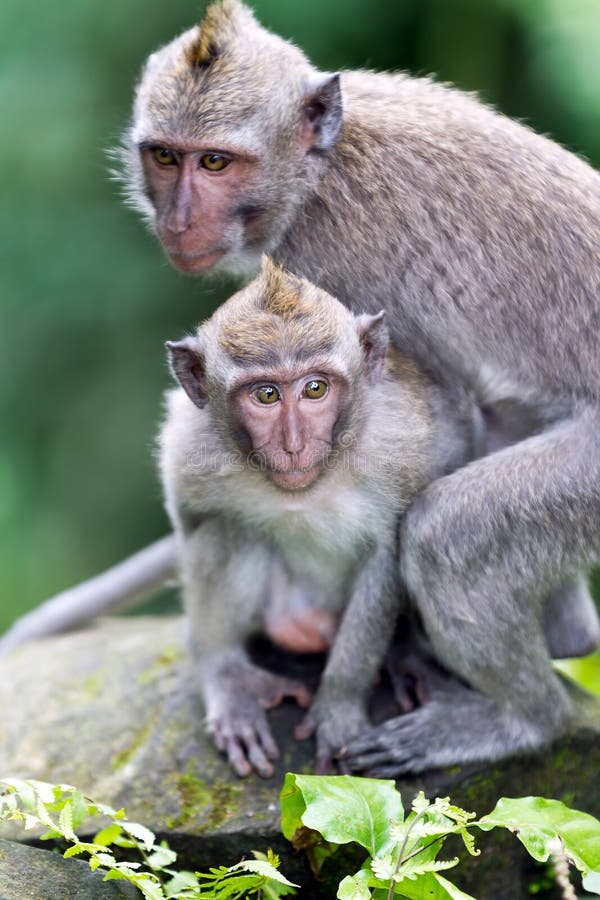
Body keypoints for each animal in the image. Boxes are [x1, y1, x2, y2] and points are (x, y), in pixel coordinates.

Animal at [158, 257, 479, 776]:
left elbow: (386, 555)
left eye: (315, 388)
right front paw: (223, 674)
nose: (294, 445)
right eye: (266, 395)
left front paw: (339, 708)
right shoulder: (192, 442)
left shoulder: (402, 439)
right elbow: (194, 520)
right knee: (230, 528)